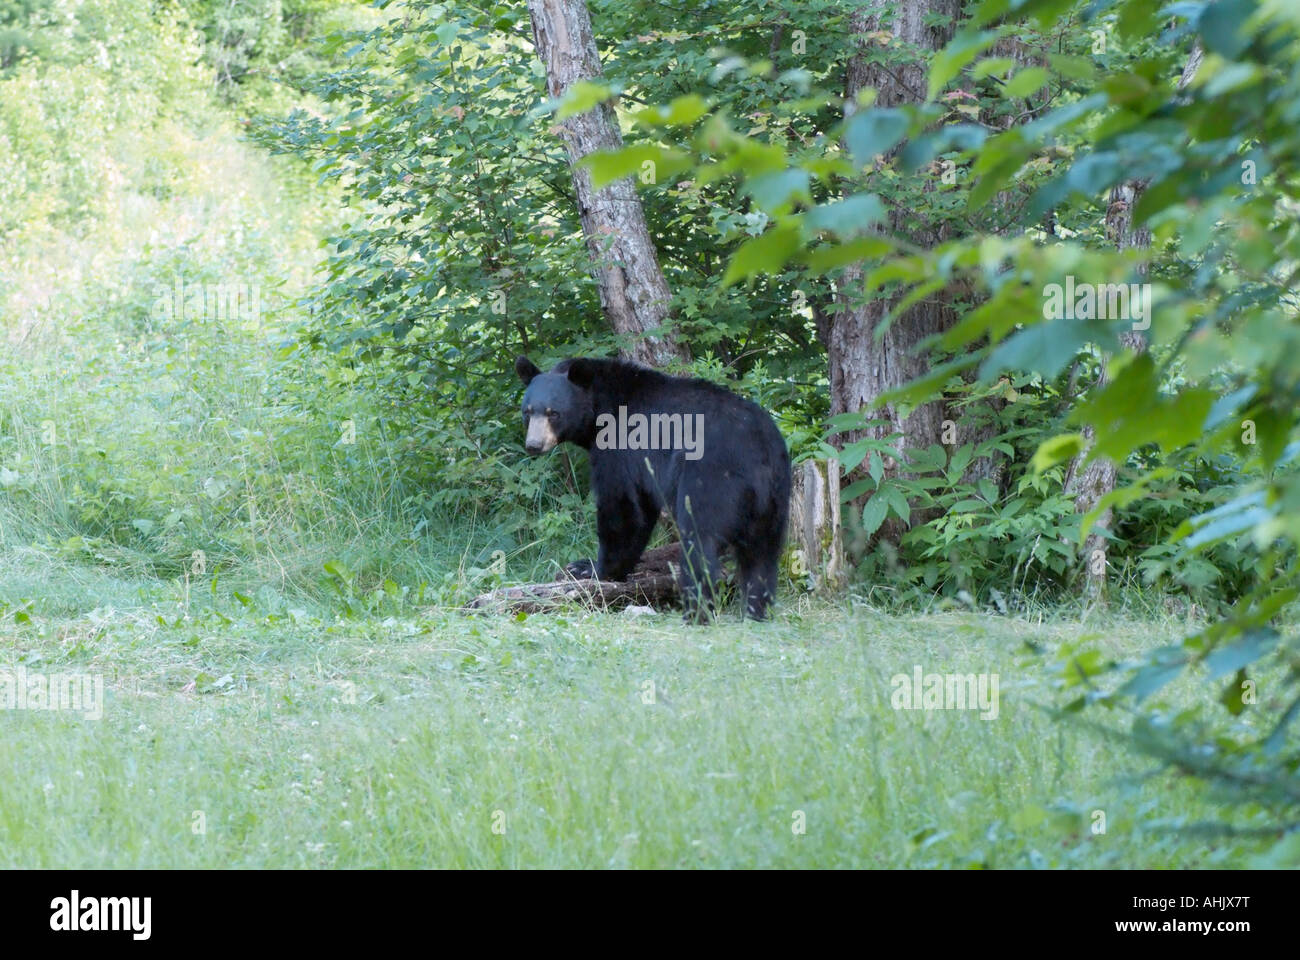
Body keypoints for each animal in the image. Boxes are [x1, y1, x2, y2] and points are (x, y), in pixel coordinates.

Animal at [515, 355, 791, 621]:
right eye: (527, 412)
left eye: (553, 413)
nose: (533, 445)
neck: (601, 409)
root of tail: (759, 452)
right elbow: (641, 511)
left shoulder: (619, 447)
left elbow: (621, 509)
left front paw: (592, 568)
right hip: (774, 500)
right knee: (762, 557)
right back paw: (756, 610)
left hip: (710, 479)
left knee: (700, 542)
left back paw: (696, 611)